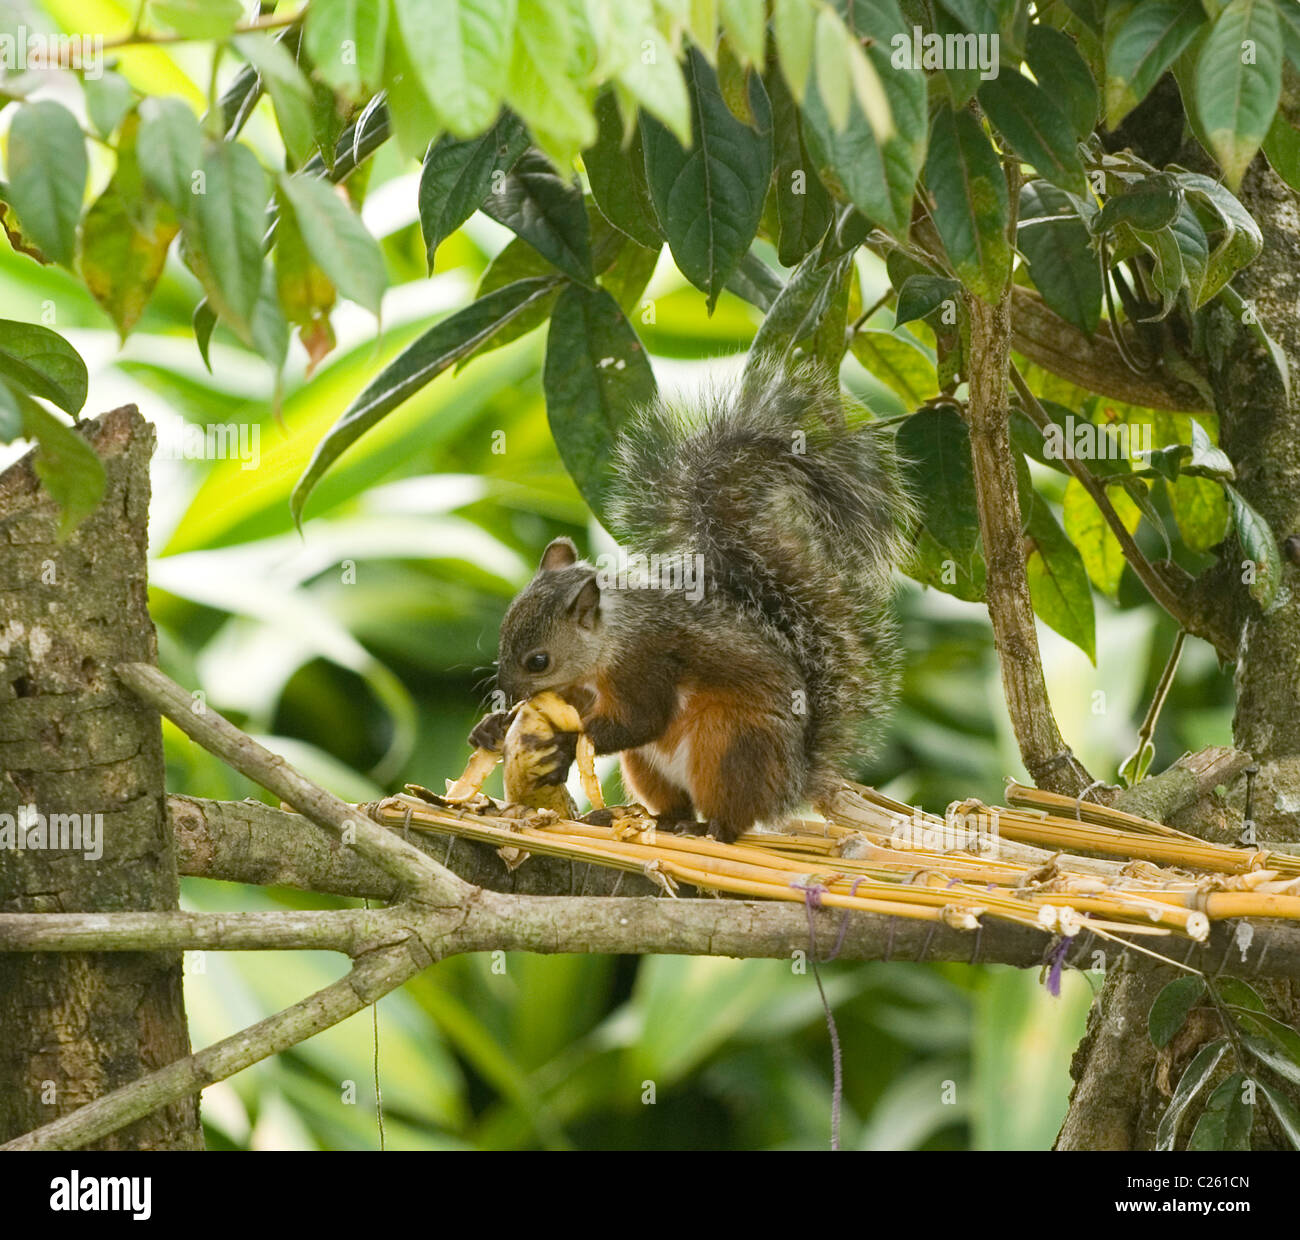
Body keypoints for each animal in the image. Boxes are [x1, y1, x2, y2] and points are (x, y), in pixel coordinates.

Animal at [473, 360, 916, 843]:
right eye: (501, 635)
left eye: (539, 661)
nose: (505, 695)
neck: (609, 642)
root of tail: (791, 784)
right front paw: (492, 727)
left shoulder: (645, 664)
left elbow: (643, 720)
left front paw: (564, 744)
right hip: (648, 766)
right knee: (676, 801)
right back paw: (657, 820)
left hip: (728, 746)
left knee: (732, 819)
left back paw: (707, 828)